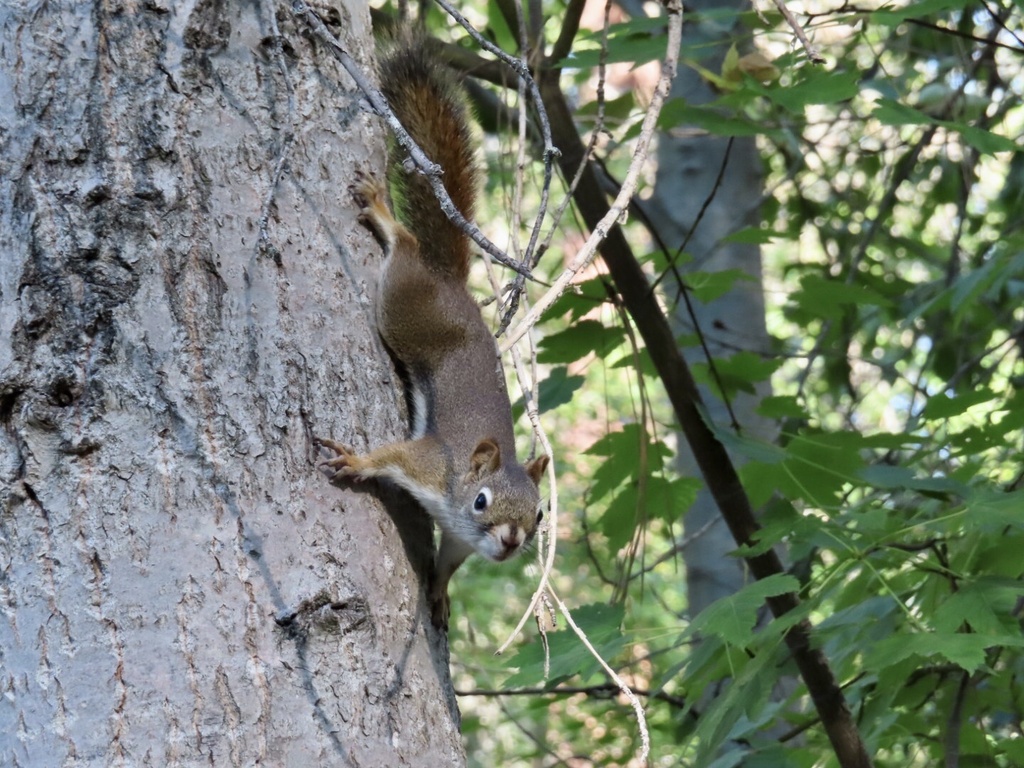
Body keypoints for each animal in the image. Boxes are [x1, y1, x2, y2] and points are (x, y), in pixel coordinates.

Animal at [318, 38, 549, 630]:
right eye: (481, 501)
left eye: (539, 514)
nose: (510, 543)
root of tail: (450, 282)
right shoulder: (429, 464)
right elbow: (390, 457)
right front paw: (355, 461)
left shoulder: (462, 542)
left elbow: (449, 562)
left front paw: (441, 593)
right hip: (404, 308)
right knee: (404, 248)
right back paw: (382, 214)